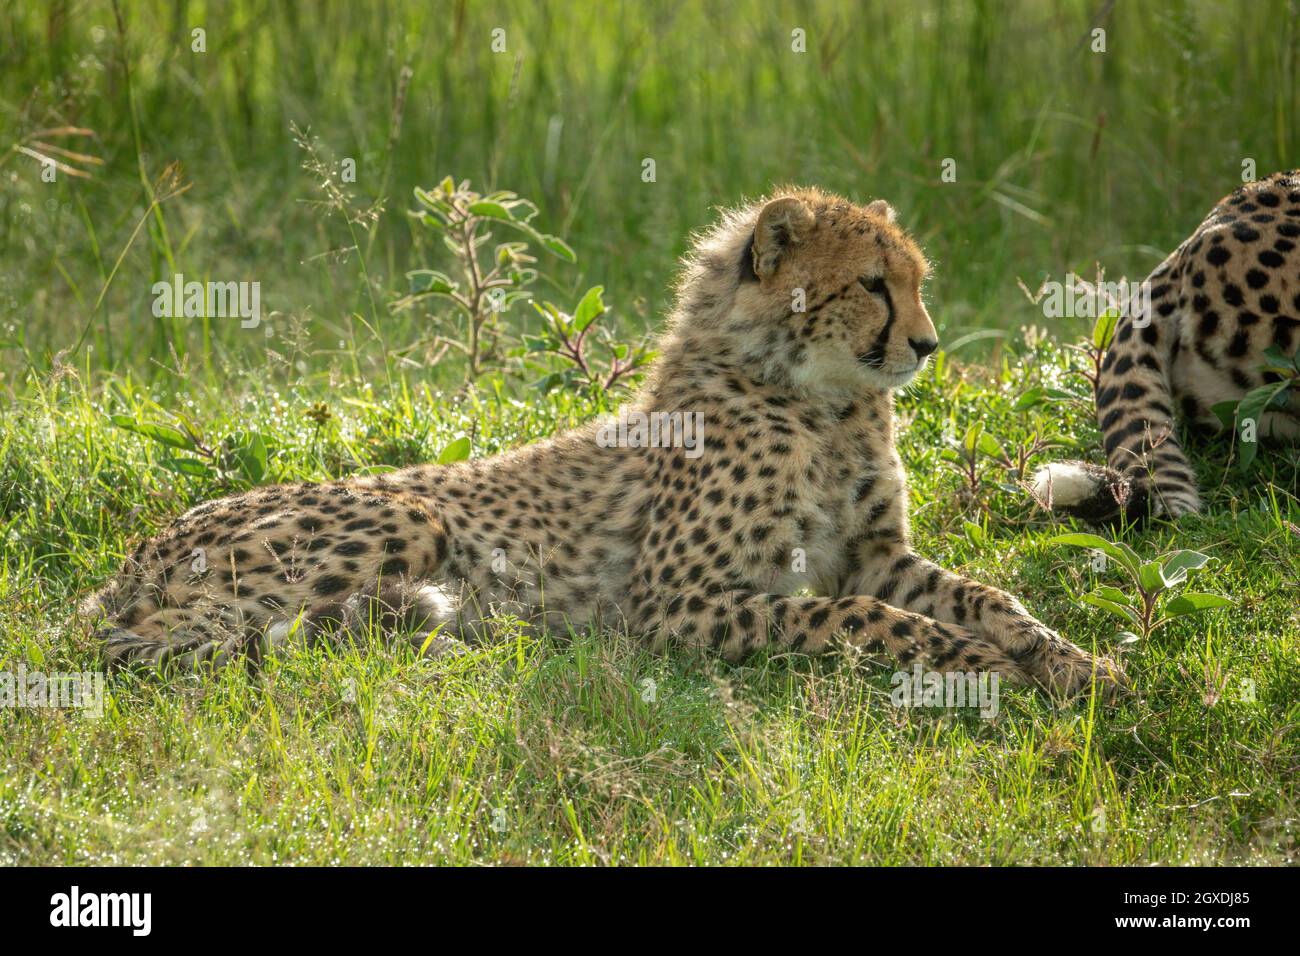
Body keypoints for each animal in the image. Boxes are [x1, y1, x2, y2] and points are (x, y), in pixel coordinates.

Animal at [86, 187, 1124, 699]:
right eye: (872, 284)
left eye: (914, 282)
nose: (929, 344)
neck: (819, 402)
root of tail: (132, 559)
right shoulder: (677, 604)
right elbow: (855, 620)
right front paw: (982, 667)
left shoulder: (873, 551)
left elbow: (987, 598)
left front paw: (1078, 665)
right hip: (406, 517)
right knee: (178, 645)